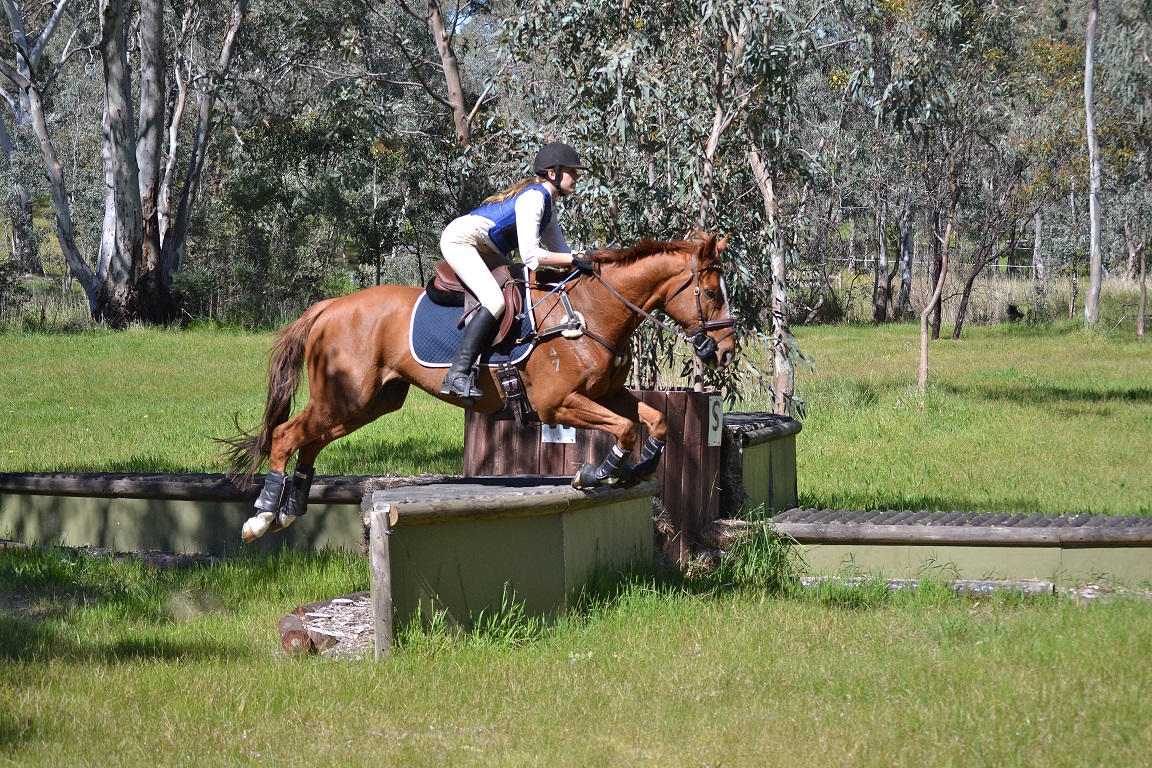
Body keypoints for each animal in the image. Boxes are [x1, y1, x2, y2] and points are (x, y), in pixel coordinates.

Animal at [223, 231, 737, 543]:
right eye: (712, 293)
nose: (727, 351)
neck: (592, 311)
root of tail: (329, 306)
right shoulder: (558, 405)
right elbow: (627, 429)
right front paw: (595, 473)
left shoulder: (608, 394)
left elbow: (657, 419)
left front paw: (636, 468)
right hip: (346, 398)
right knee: (286, 435)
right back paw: (262, 517)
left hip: (365, 404)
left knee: (309, 441)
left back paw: (290, 509)